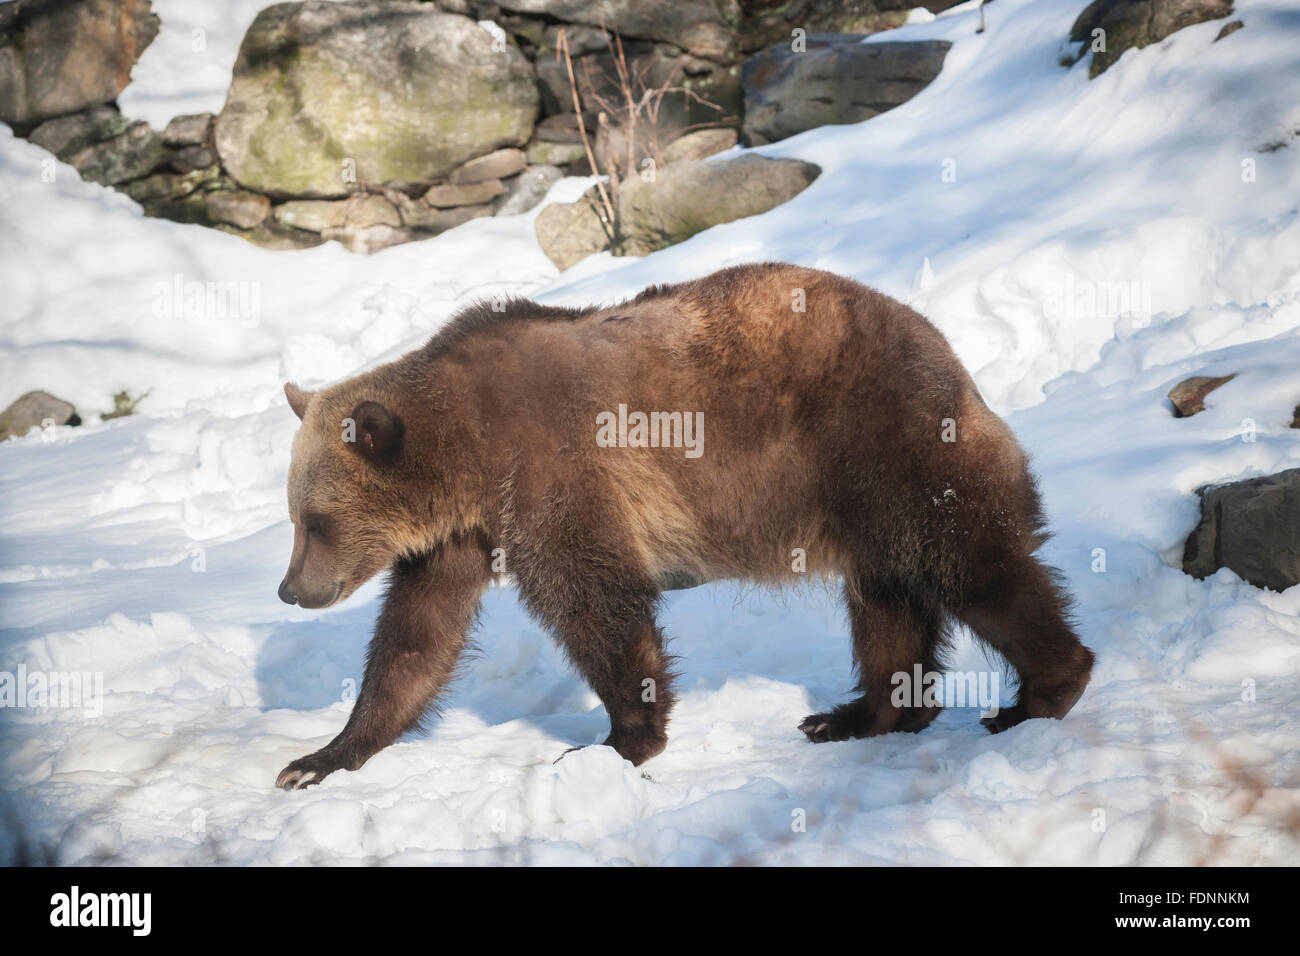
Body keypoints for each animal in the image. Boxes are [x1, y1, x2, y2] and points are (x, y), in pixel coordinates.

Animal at [274, 262, 1094, 790]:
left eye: (317, 521)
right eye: (293, 517)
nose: (290, 589)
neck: (465, 448)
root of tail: (940, 343)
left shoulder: (551, 470)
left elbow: (595, 602)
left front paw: (618, 741)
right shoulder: (461, 533)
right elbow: (417, 636)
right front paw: (318, 758)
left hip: (881, 439)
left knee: (971, 563)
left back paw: (1040, 694)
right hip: (862, 496)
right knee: (887, 603)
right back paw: (856, 715)